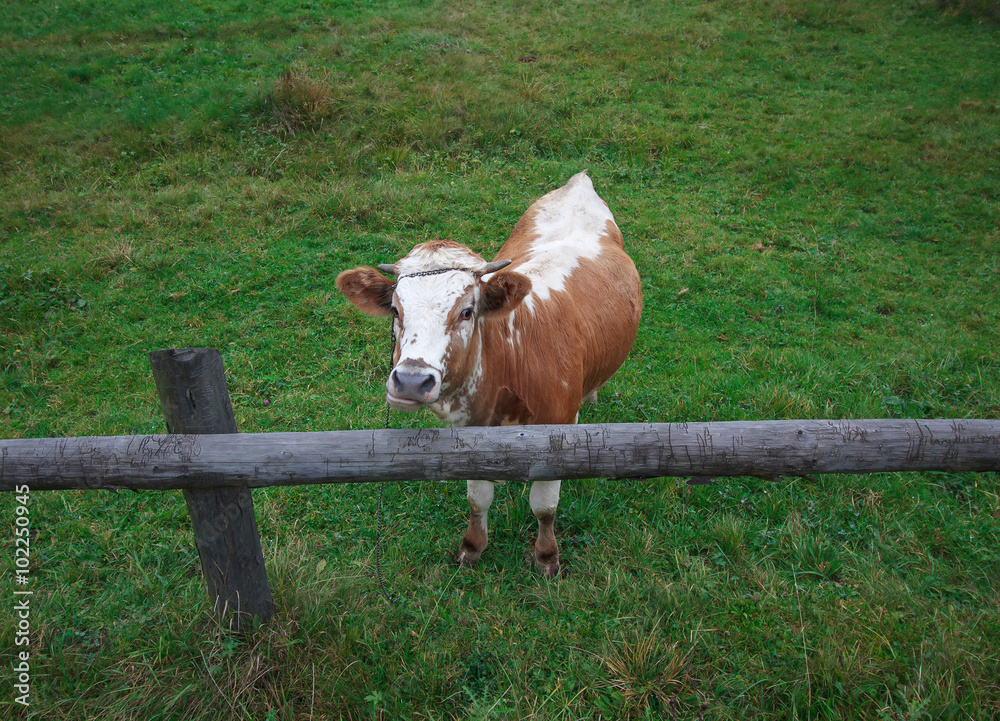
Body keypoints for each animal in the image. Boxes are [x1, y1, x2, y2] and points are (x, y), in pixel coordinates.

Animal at [336, 171, 642, 577]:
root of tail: (580, 182)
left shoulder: (558, 430)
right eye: (397, 311)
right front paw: (472, 547)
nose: (412, 381)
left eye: (467, 311)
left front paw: (547, 556)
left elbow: (544, 507)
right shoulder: (469, 434)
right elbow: (477, 498)